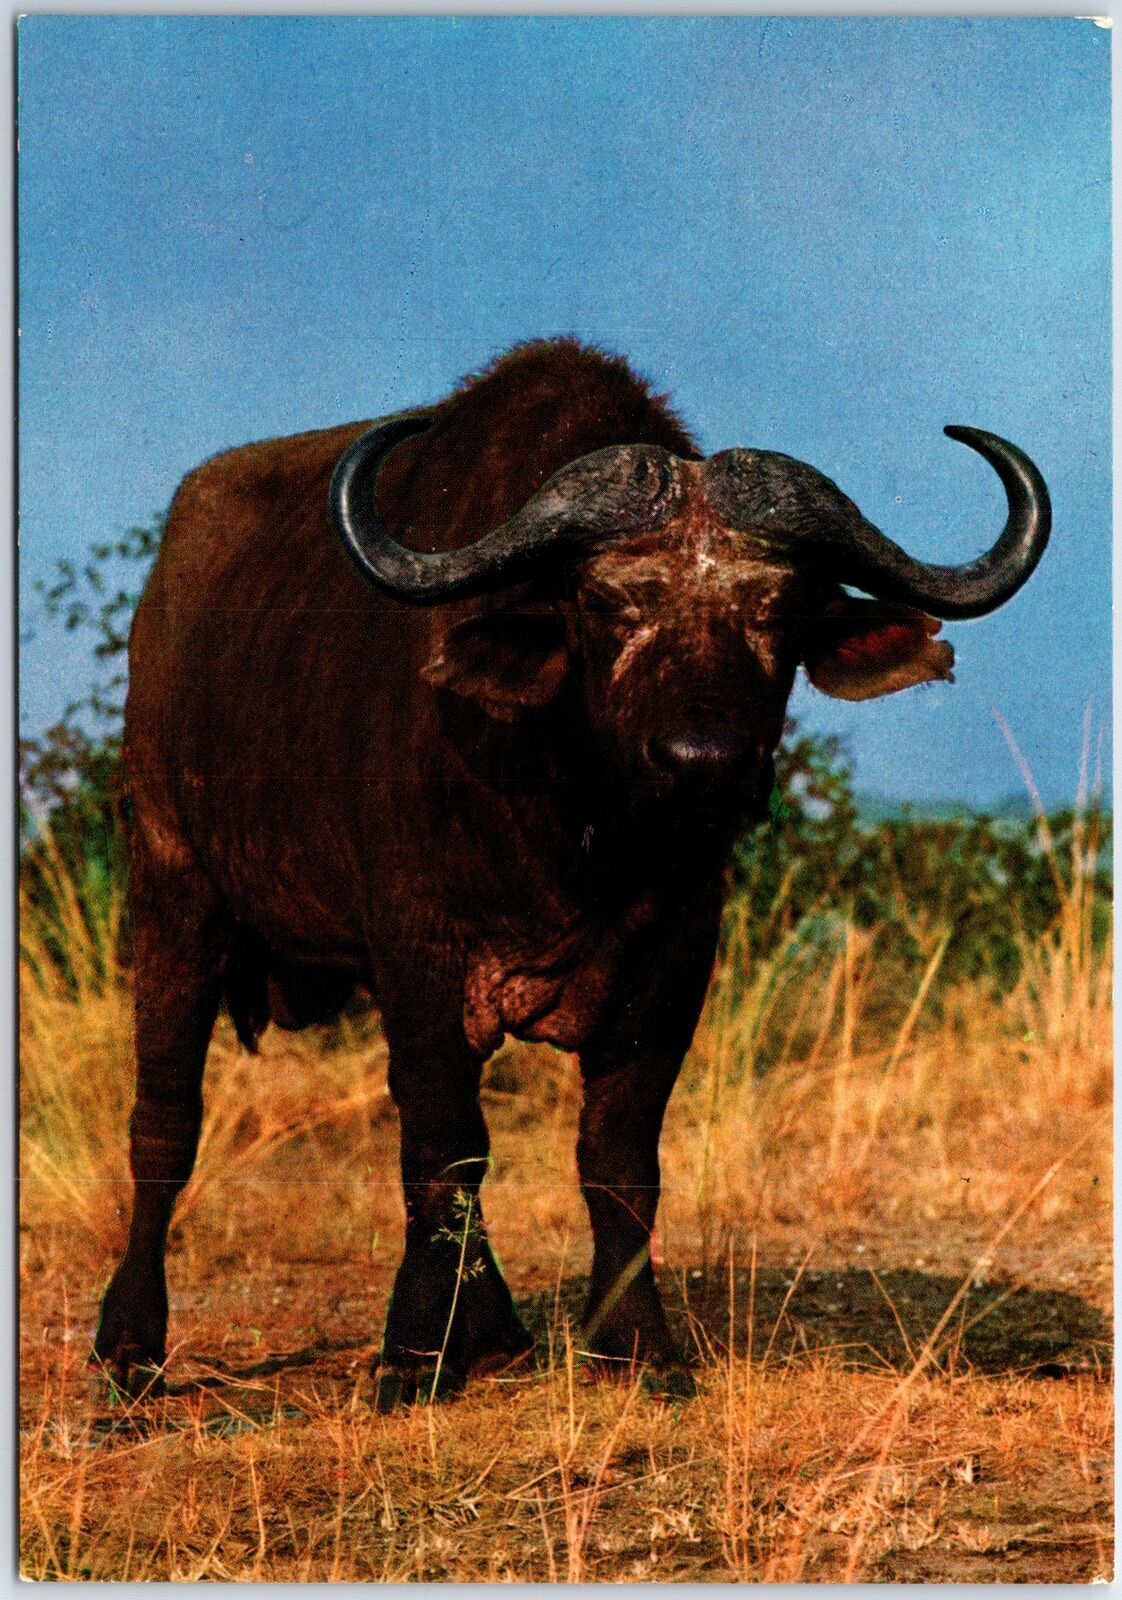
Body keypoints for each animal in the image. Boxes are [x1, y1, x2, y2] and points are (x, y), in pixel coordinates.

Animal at [93, 338, 1049, 1404]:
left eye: (779, 610)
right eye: (604, 604)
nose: (706, 762)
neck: (575, 833)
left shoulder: (677, 956)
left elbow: (618, 1155)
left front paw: (634, 1344)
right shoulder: (418, 954)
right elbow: (445, 1144)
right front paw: (417, 1352)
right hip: (172, 890)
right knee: (165, 1118)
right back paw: (130, 1343)